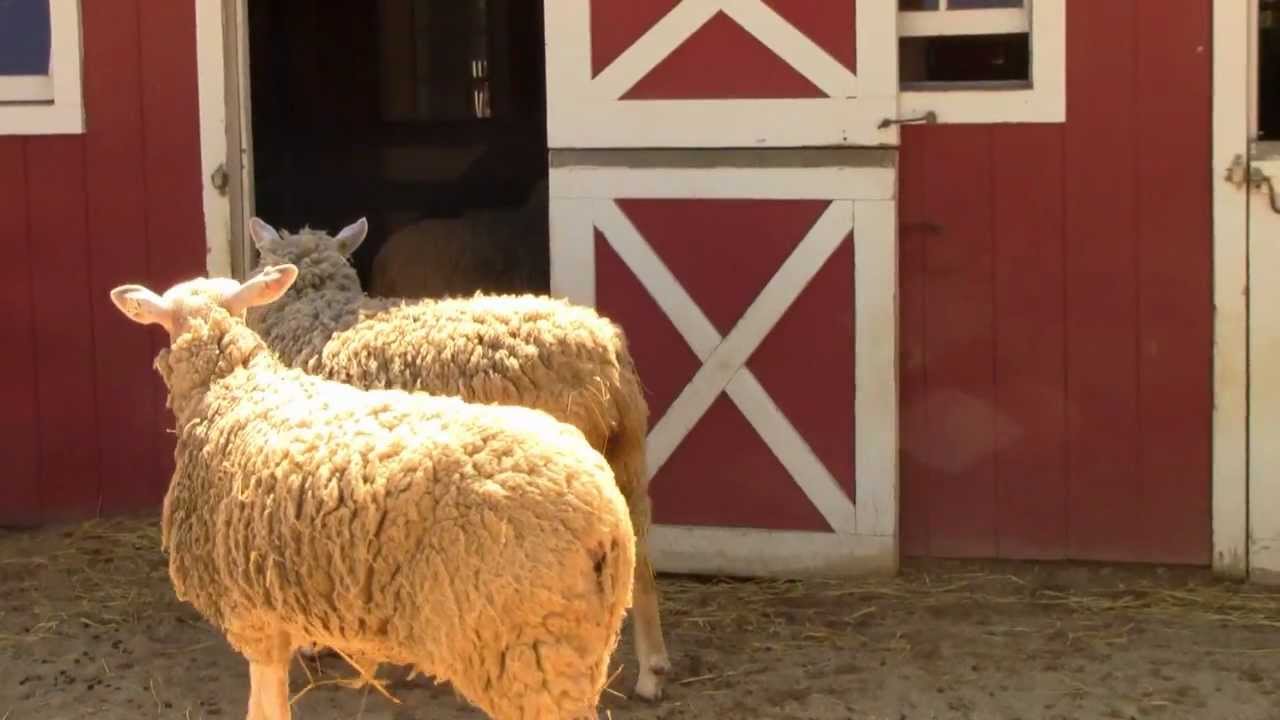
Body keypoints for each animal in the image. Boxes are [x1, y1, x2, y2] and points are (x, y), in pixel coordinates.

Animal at [108, 264, 636, 720]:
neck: (232, 388)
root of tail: (606, 518)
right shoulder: (275, 615)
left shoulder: (253, 615)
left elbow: (265, 709)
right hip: (576, 645)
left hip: (527, 650)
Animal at [244, 216, 673, 701]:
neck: (316, 319)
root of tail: (605, 358)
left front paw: (316, 643)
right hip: (628, 457)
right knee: (640, 557)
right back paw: (652, 671)